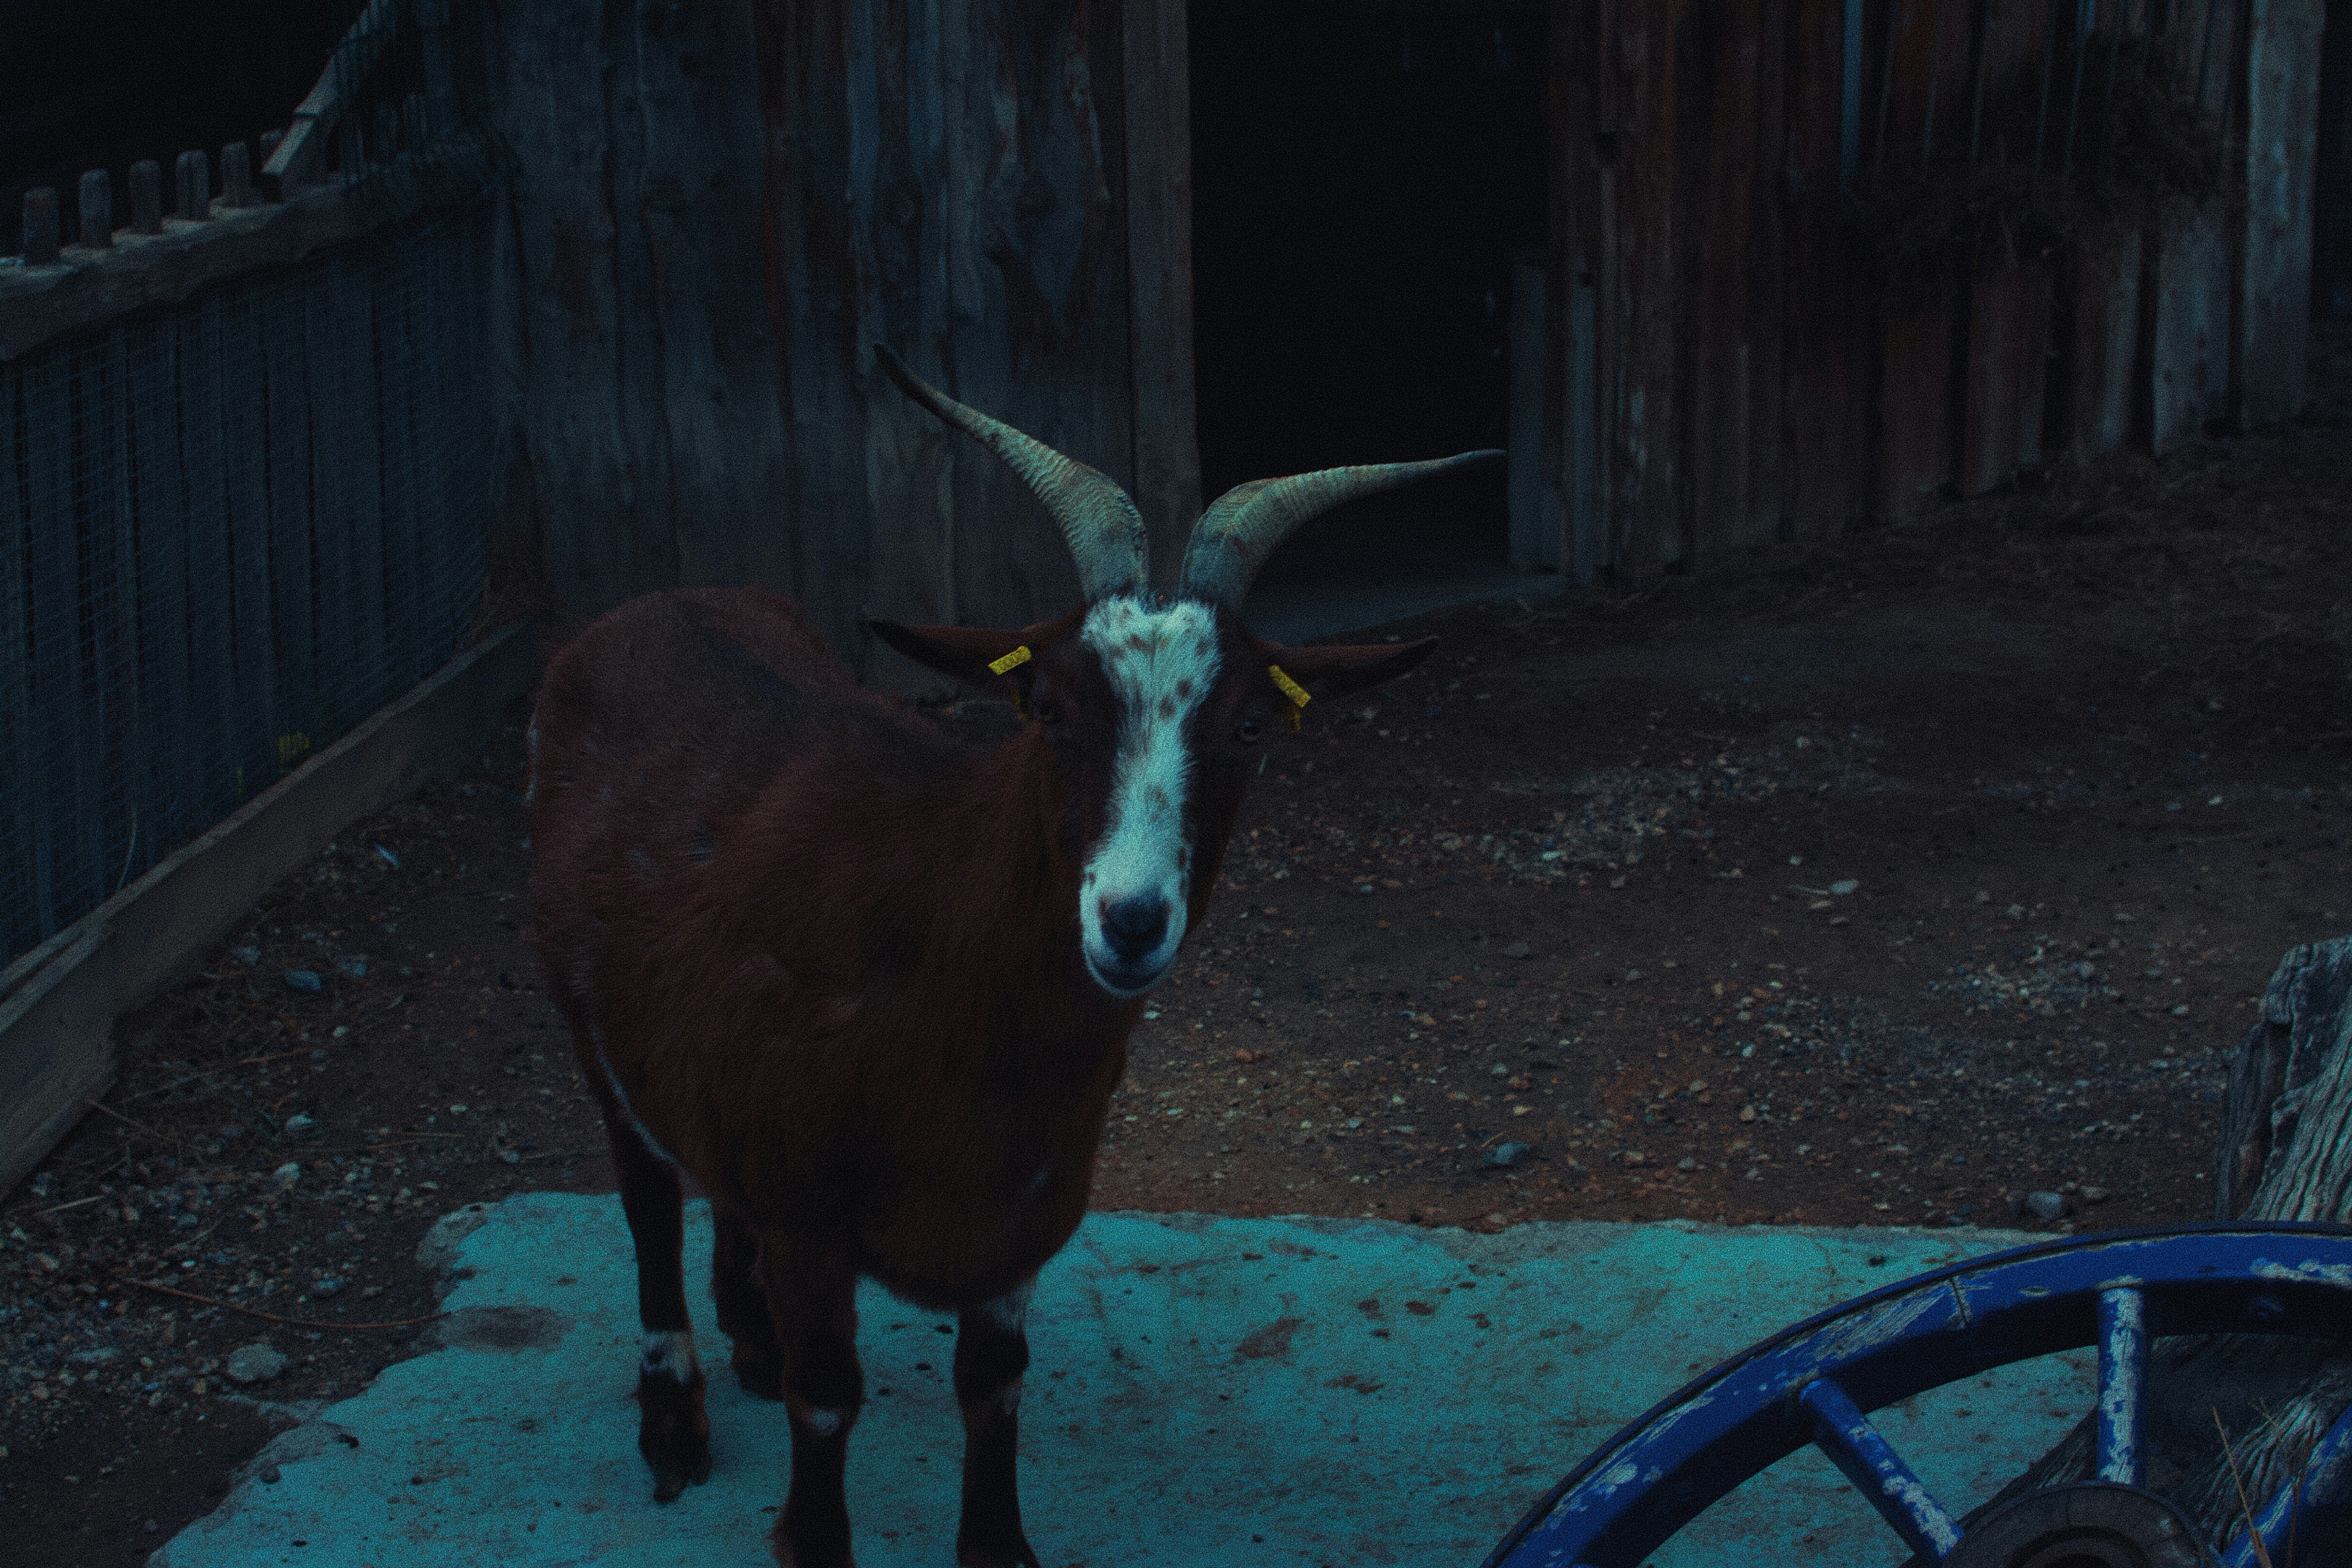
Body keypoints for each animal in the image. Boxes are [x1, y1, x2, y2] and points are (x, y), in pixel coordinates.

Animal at [526, 345, 1499, 1567]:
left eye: (1248, 727)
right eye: (1044, 702)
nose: (1130, 920)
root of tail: (652, 605)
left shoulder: (1017, 1227)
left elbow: (993, 1388)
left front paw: (997, 1543)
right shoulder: (810, 1215)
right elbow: (825, 1398)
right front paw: (808, 1525)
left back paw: (745, 1338)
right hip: (587, 1022)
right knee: (648, 1195)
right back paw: (673, 1422)